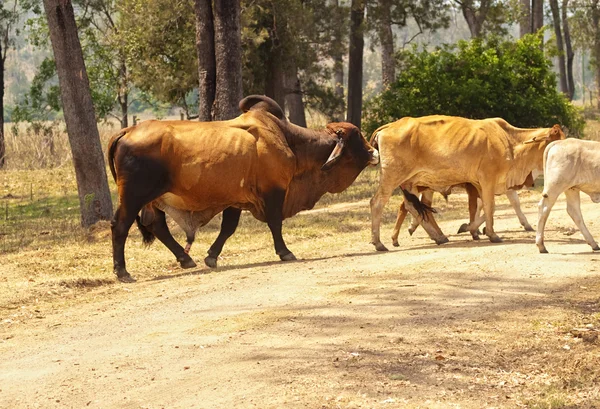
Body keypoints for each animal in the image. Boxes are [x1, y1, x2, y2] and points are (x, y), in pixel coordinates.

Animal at [368, 113, 564, 250]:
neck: (511, 142)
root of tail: (389, 126)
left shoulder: (482, 185)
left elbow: (484, 209)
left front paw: (471, 229)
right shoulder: (487, 180)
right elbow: (490, 207)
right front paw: (491, 234)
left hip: (411, 183)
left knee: (411, 207)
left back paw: (438, 237)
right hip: (393, 177)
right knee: (377, 202)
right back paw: (379, 243)